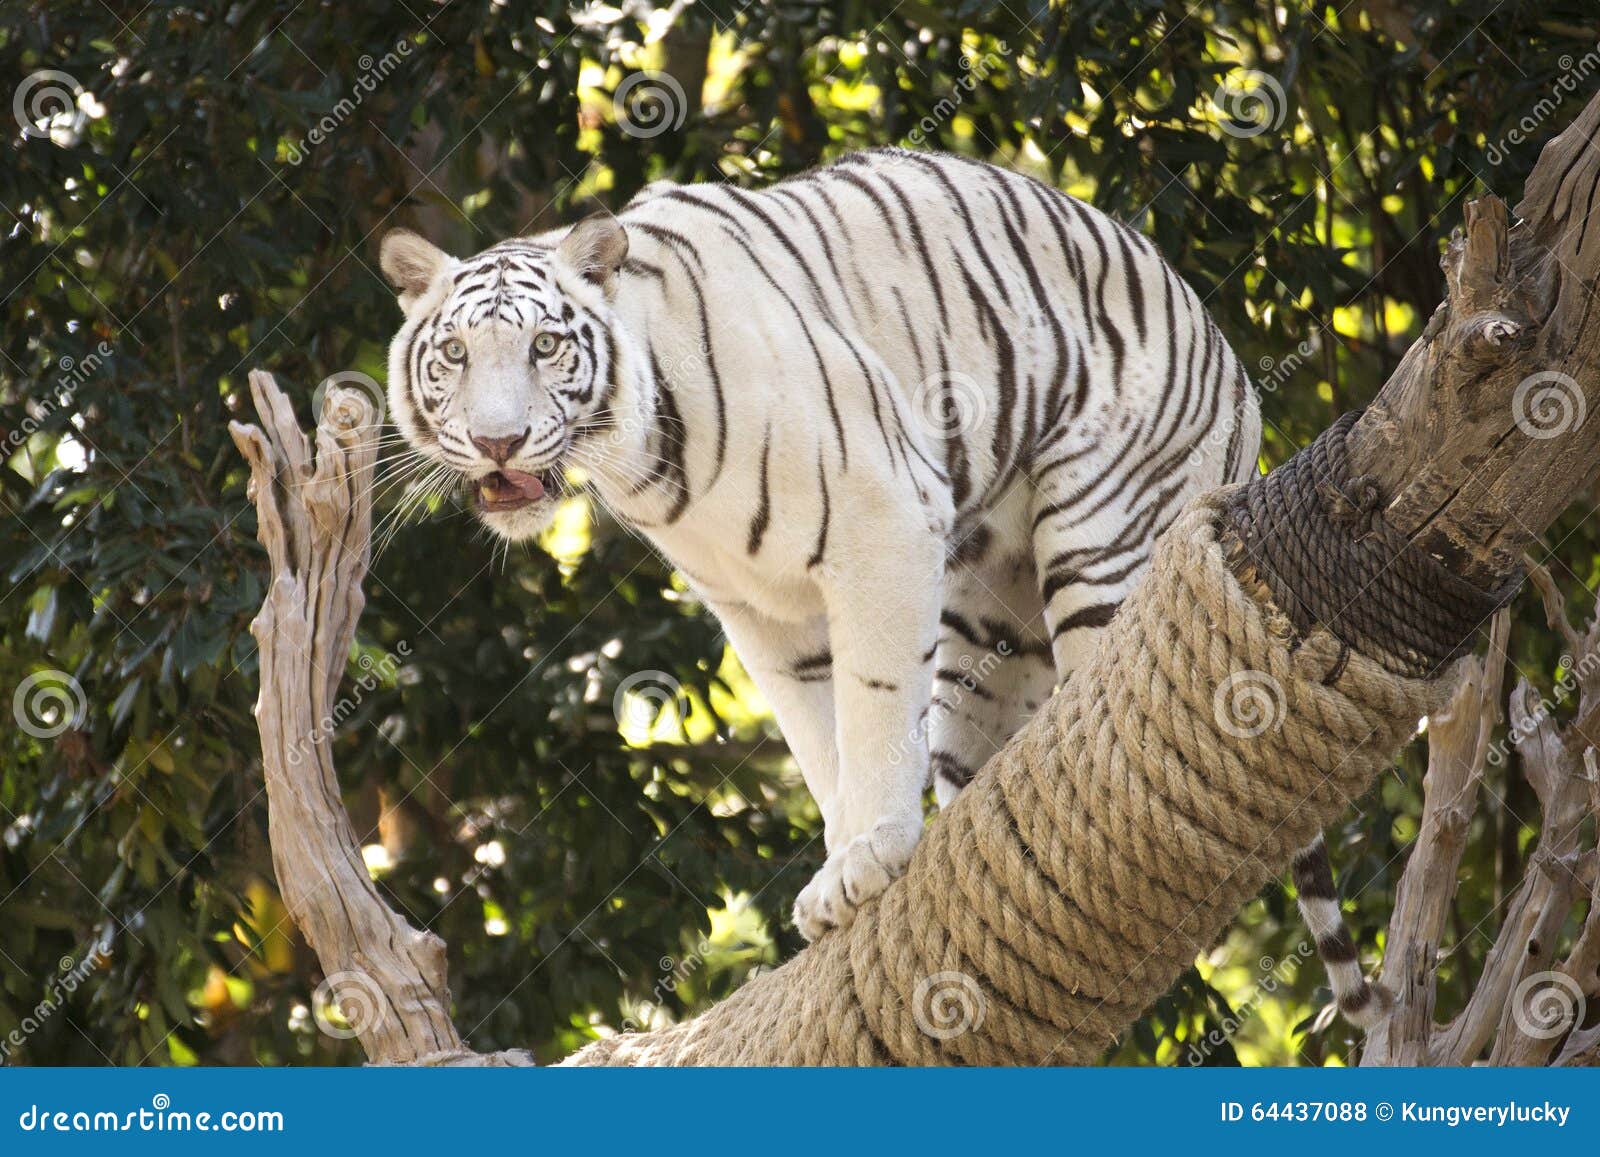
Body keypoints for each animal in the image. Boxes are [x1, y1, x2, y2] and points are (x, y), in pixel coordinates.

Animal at [379, 147, 1390, 1028]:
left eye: (547, 346)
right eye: (455, 355)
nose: (500, 441)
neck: (645, 458)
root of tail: (1234, 365)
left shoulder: (882, 521)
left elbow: (869, 708)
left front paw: (868, 854)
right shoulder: (758, 608)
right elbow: (815, 734)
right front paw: (846, 869)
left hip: (1108, 537)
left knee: (1117, 711)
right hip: (991, 628)